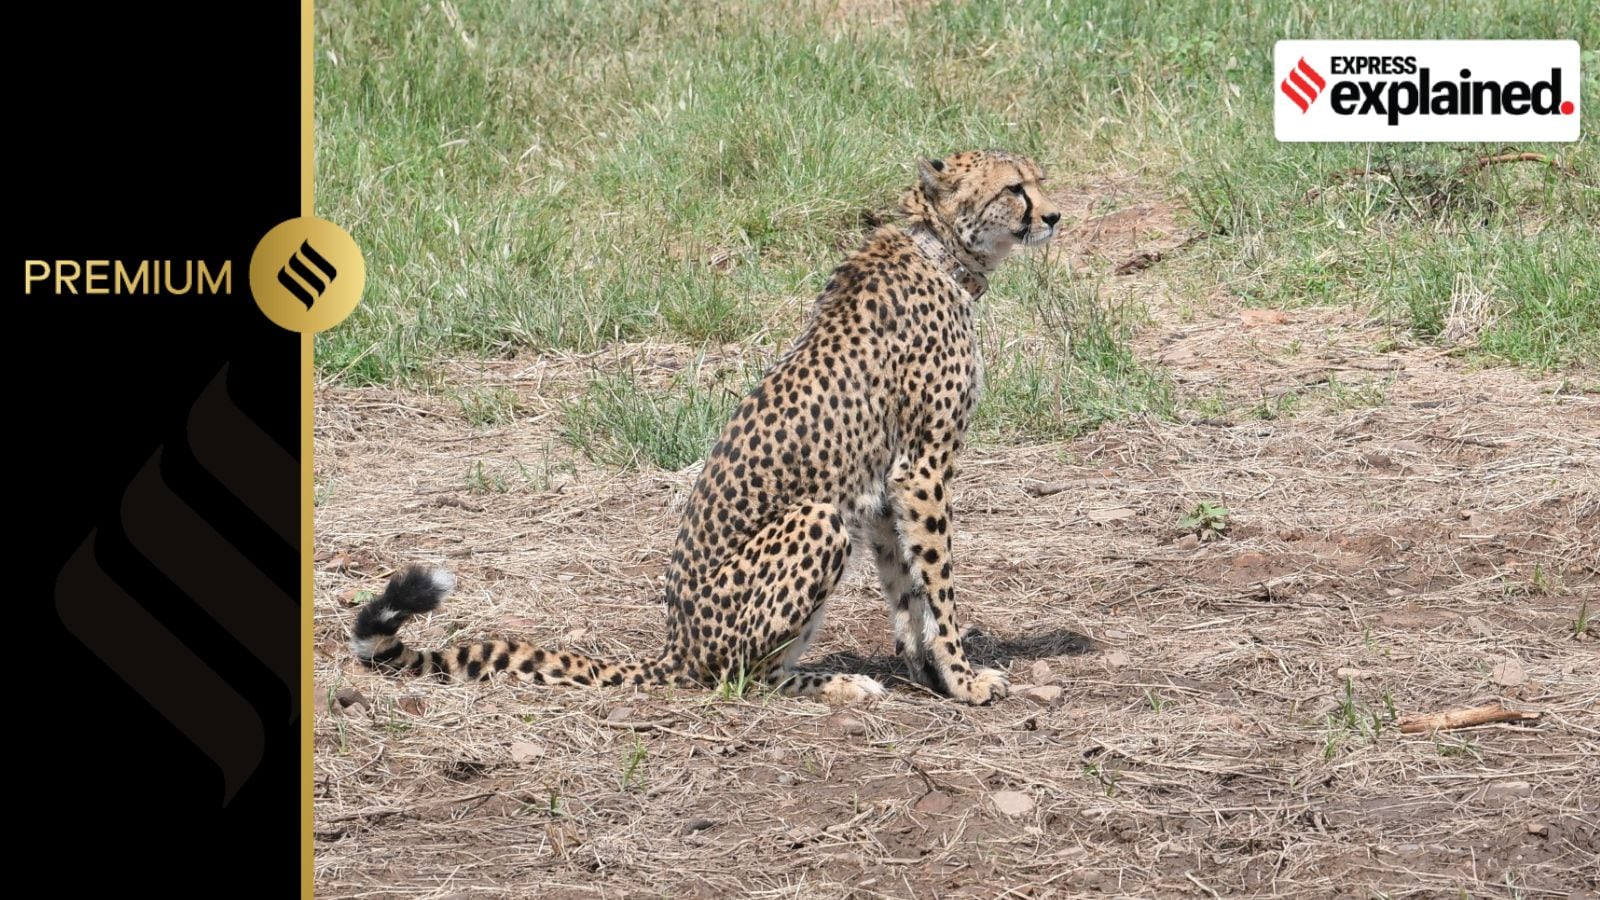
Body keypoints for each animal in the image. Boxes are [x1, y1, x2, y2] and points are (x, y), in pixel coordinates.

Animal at [351, 149, 1062, 705]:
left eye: (1038, 180)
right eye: (1014, 188)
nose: (1054, 216)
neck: (941, 250)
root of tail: (677, 644)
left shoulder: (887, 484)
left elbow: (905, 586)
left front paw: (927, 671)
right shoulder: (922, 467)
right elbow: (937, 584)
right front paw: (964, 678)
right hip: (816, 520)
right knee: (739, 676)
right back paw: (836, 684)